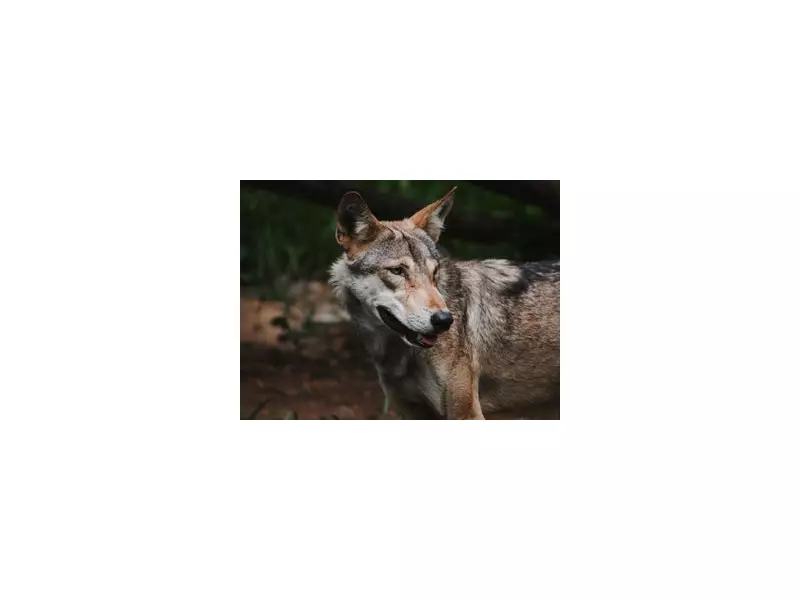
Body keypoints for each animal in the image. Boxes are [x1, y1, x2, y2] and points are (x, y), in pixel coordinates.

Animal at [329, 187, 559, 419]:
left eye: (434, 272)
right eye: (397, 271)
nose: (444, 320)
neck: (398, 353)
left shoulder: (466, 413)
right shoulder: (412, 413)